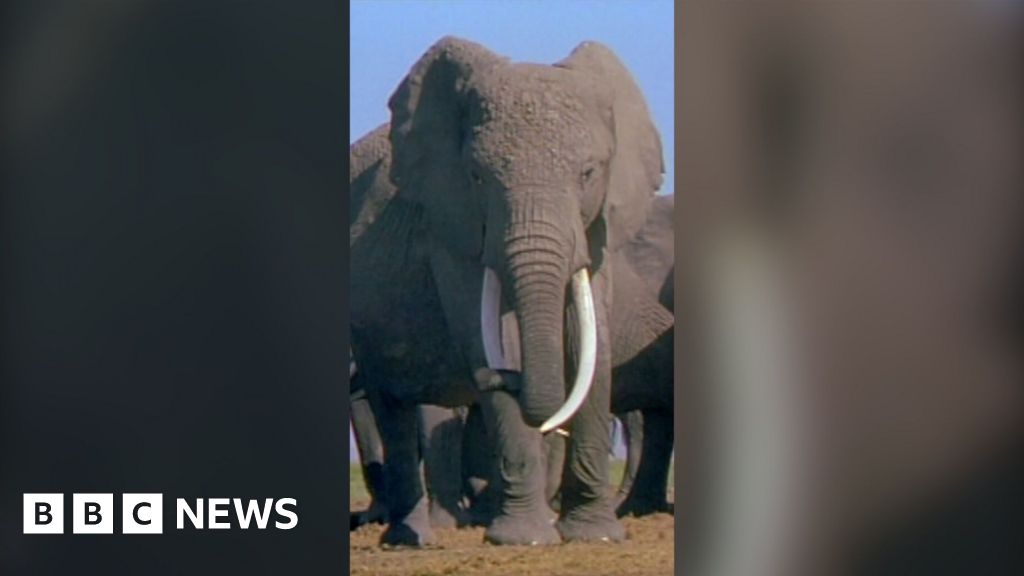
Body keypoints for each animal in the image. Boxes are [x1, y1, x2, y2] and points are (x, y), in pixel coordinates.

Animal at [350, 36, 670, 546]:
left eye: (588, 173)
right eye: (478, 177)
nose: (507, 381)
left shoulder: (599, 227)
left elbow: (592, 343)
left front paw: (595, 535)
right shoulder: (451, 226)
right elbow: (492, 338)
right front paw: (525, 539)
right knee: (391, 406)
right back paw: (409, 539)